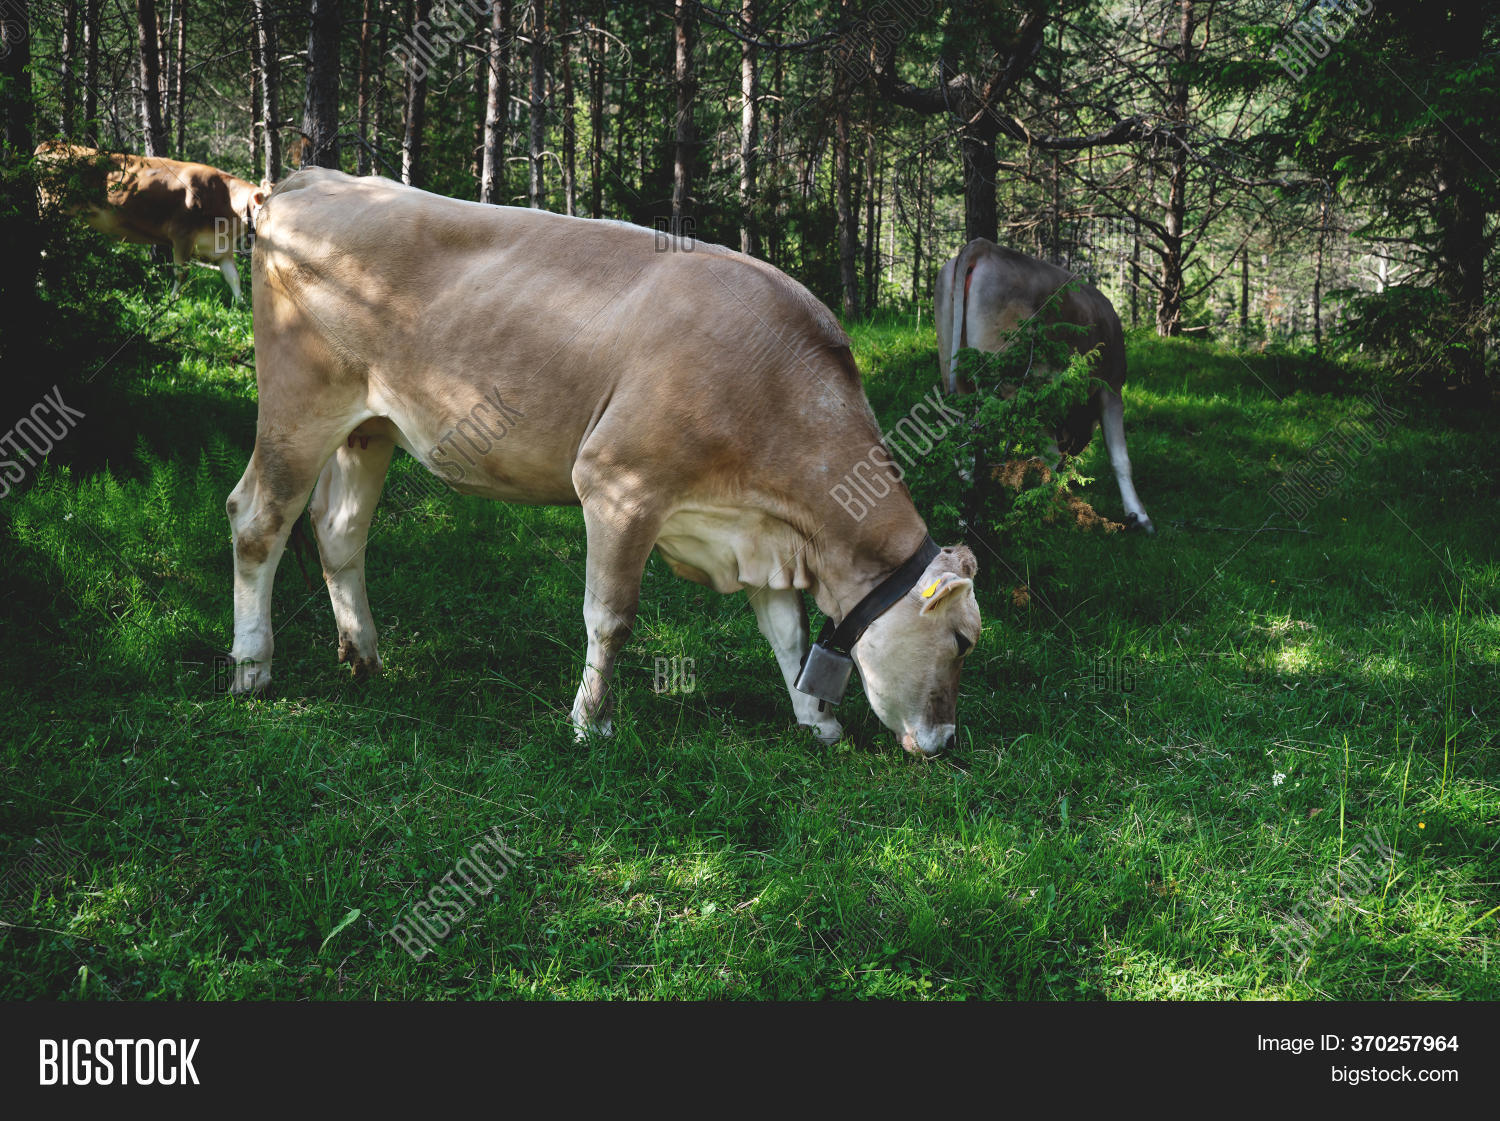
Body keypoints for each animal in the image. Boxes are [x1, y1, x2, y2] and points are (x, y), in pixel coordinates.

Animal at [33, 141, 266, 303]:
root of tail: (52, 144)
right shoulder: (183, 235)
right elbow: (181, 272)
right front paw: (172, 300)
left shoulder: (221, 247)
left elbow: (233, 277)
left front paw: (241, 304)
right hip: (52, 209)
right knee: (44, 248)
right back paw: (43, 285)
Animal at [226, 168, 983, 757]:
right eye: (964, 641)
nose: (946, 742)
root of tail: (306, 180)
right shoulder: (620, 484)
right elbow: (611, 617)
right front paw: (591, 723)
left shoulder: (758, 529)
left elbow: (788, 633)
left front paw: (815, 720)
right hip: (299, 405)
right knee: (257, 518)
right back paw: (252, 668)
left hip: (369, 426)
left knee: (339, 531)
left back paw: (365, 655)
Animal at [936, 238, 1154, 534]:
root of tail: (985, 247)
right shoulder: (1111, 387)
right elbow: (1119, 458)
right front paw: (1138, 515)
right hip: (1005, 382)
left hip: (956, 373)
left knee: (965, 449)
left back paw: (967, 517)